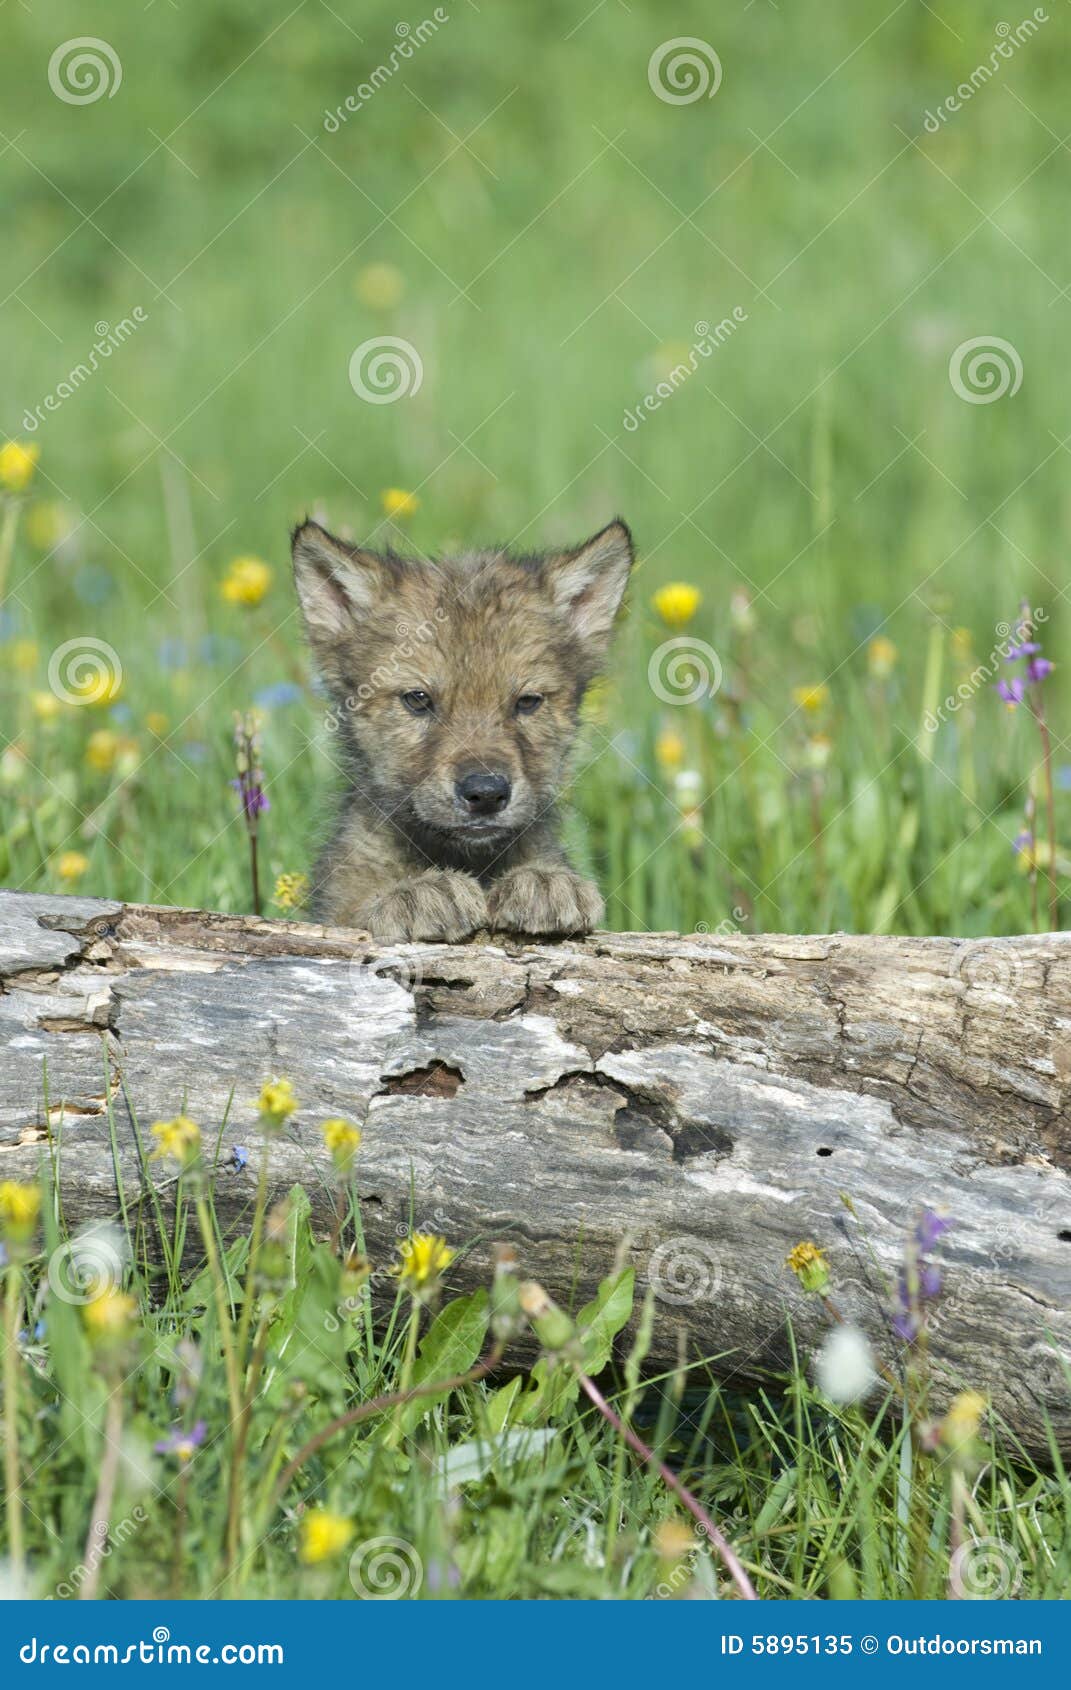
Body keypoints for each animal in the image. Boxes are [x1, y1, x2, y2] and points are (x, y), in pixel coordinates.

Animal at [291, 517, 633, 942]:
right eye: (418, 699)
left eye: (527, 702)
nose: (486, 794)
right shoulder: (334, 907)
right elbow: (355, 911)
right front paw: (417, 894)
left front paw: (543, 882)